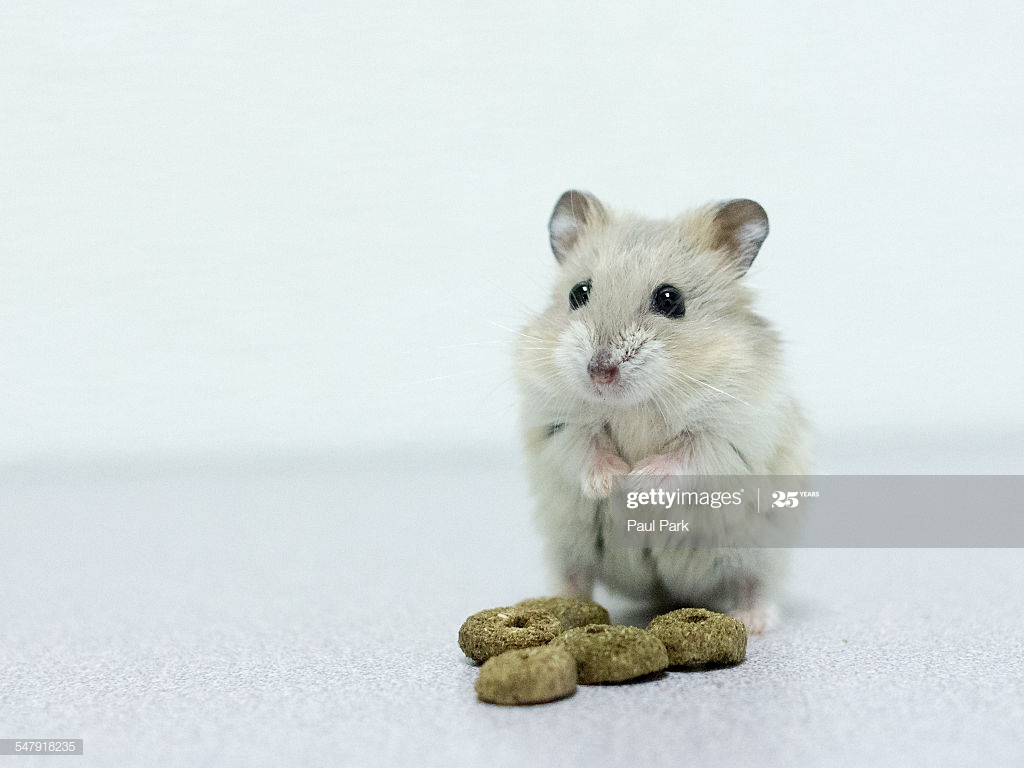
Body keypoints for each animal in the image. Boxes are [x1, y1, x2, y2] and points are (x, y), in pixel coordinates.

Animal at [515, 190, 810, 633]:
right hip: (565, 543)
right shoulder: (554, 422)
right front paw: (613, 482)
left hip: (762, 550)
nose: (600, 372)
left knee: (755, 585)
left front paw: (636, 484)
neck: (635, 404)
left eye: (671, 300)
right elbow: (585, 447)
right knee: (574, 576)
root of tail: (668, 593)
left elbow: (686, 456)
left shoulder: (731, 431)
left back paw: (754, 621)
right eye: (578, 293)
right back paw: (560, 603)